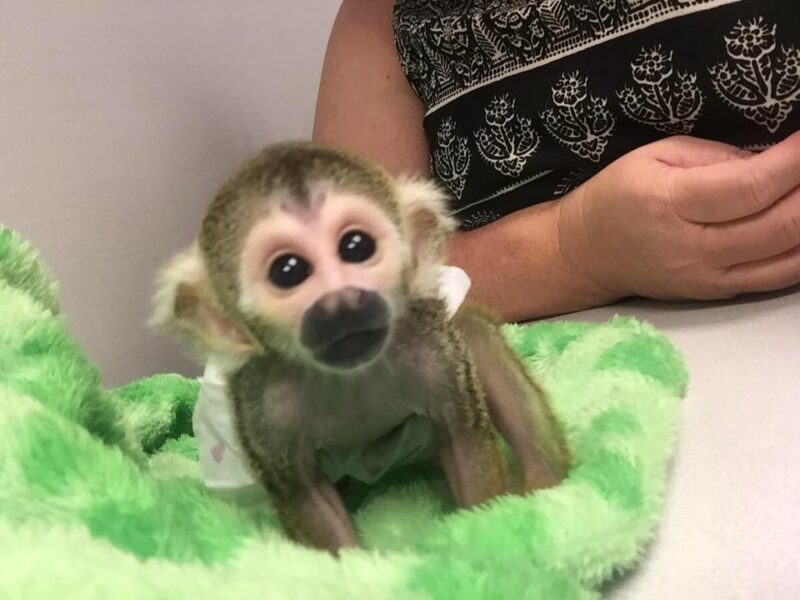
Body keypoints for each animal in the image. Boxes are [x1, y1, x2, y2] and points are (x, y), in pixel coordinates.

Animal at [151, 142, 570, 553]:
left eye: (356, 246)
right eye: (288, 271)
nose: (342, 302)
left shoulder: (427, 346)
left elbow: (463, 440)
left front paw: (481, 533)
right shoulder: (265, 402)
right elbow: (305, 494)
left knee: (476, 338)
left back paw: (542, 481)